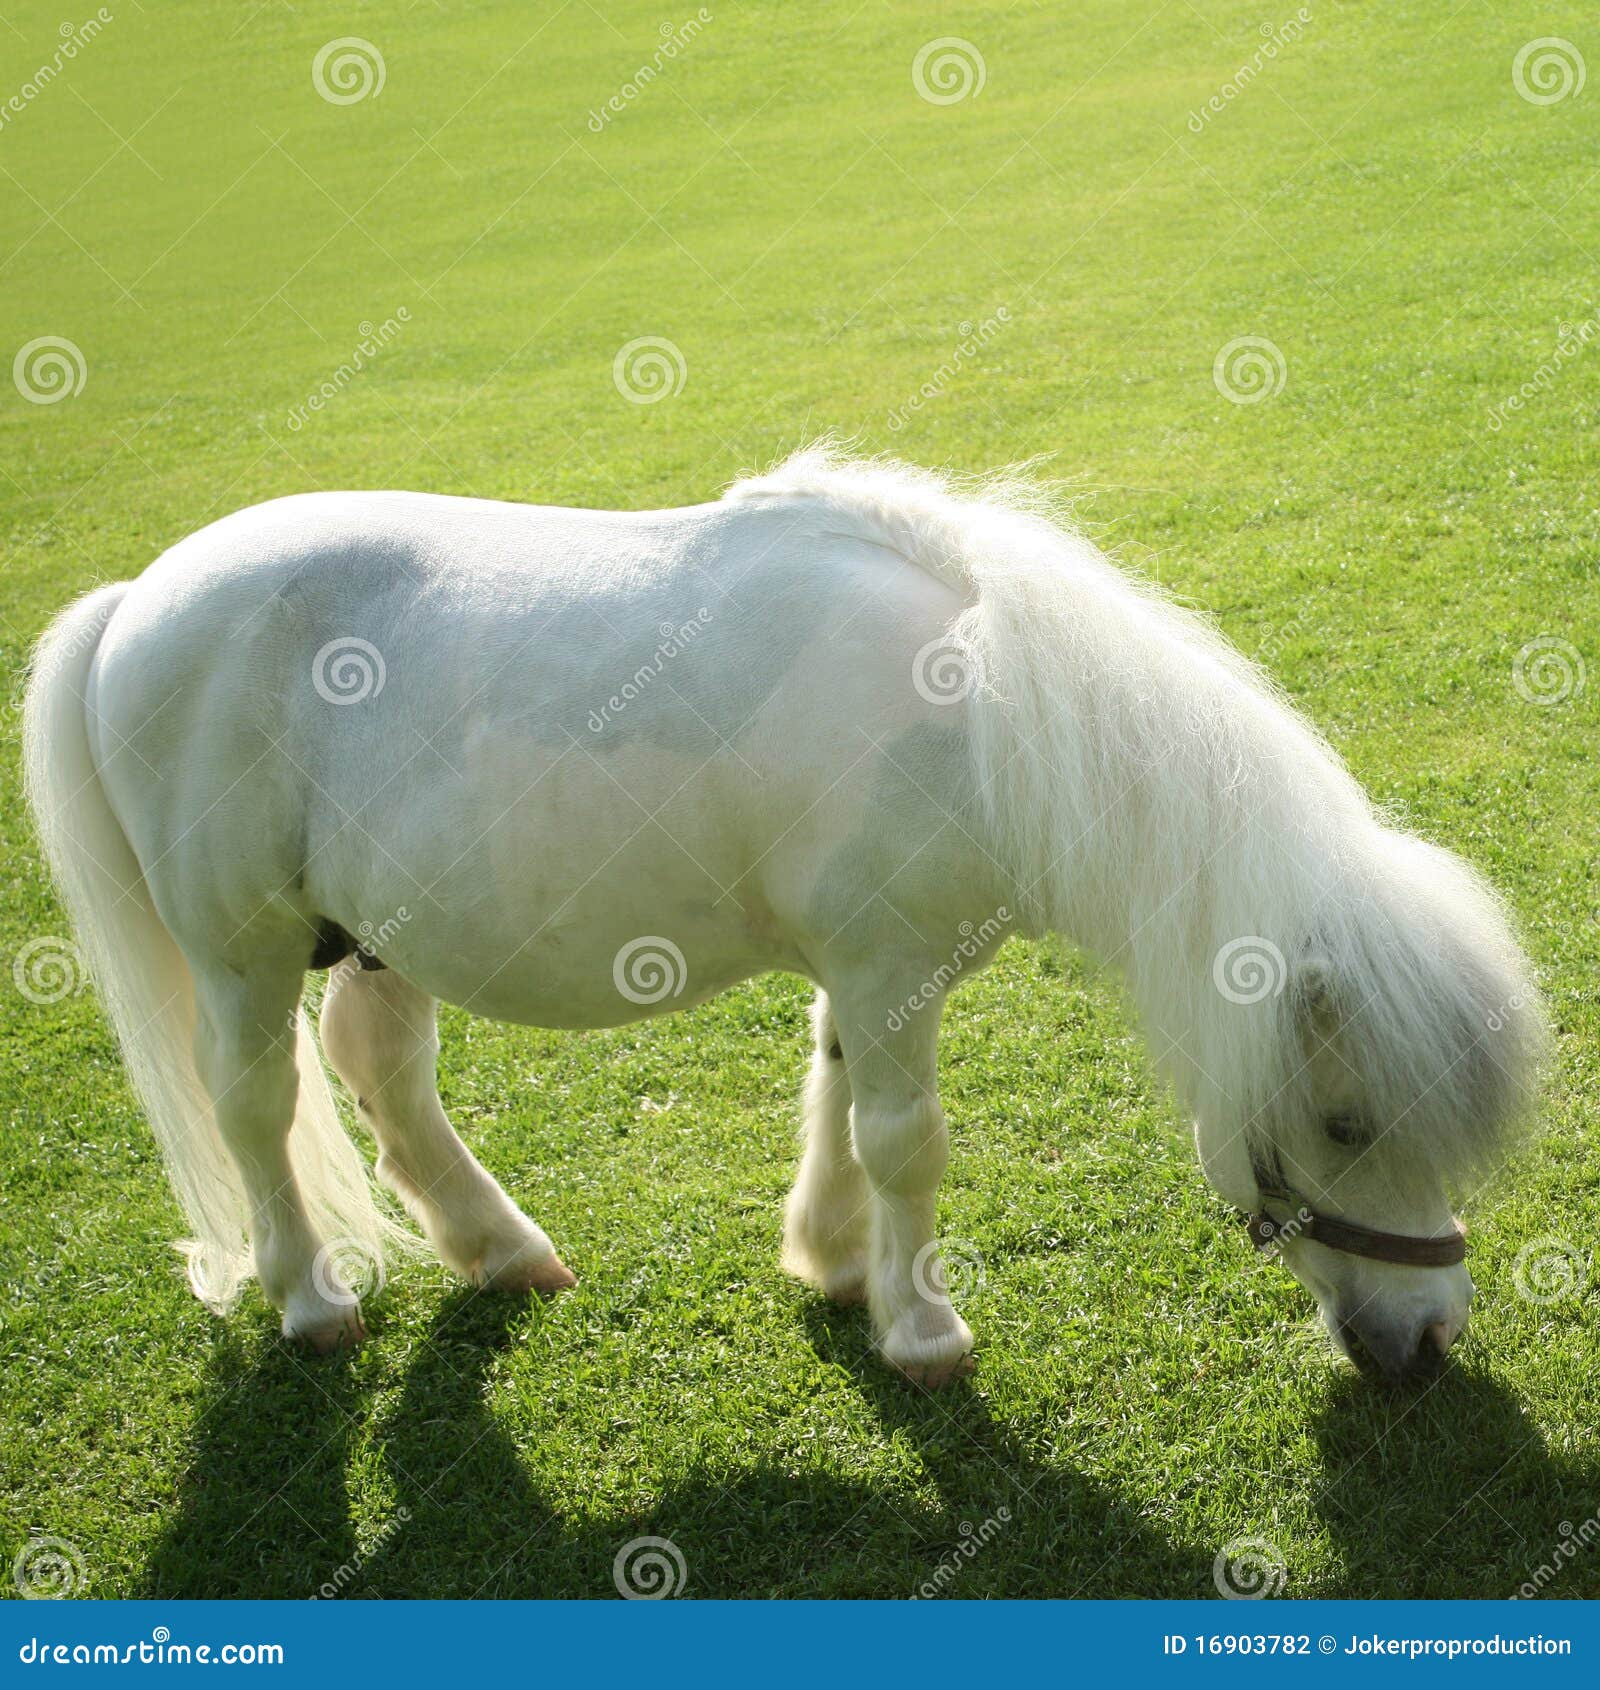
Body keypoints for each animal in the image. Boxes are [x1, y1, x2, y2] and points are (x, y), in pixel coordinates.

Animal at [22, 446, 1546, 1385]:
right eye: (1345, 1124)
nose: (1428, 1345)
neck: (981, 714)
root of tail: (138, 598)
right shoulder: (886, 967)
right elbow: (905, 1140)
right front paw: (921, 1329)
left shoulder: (863, 972)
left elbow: (837, 1106)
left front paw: (833, 1263)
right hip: (240, 953)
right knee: (255, 1105)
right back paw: (310, 1297)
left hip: (378, 938)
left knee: (383, 1075)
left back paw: (499, 1248)